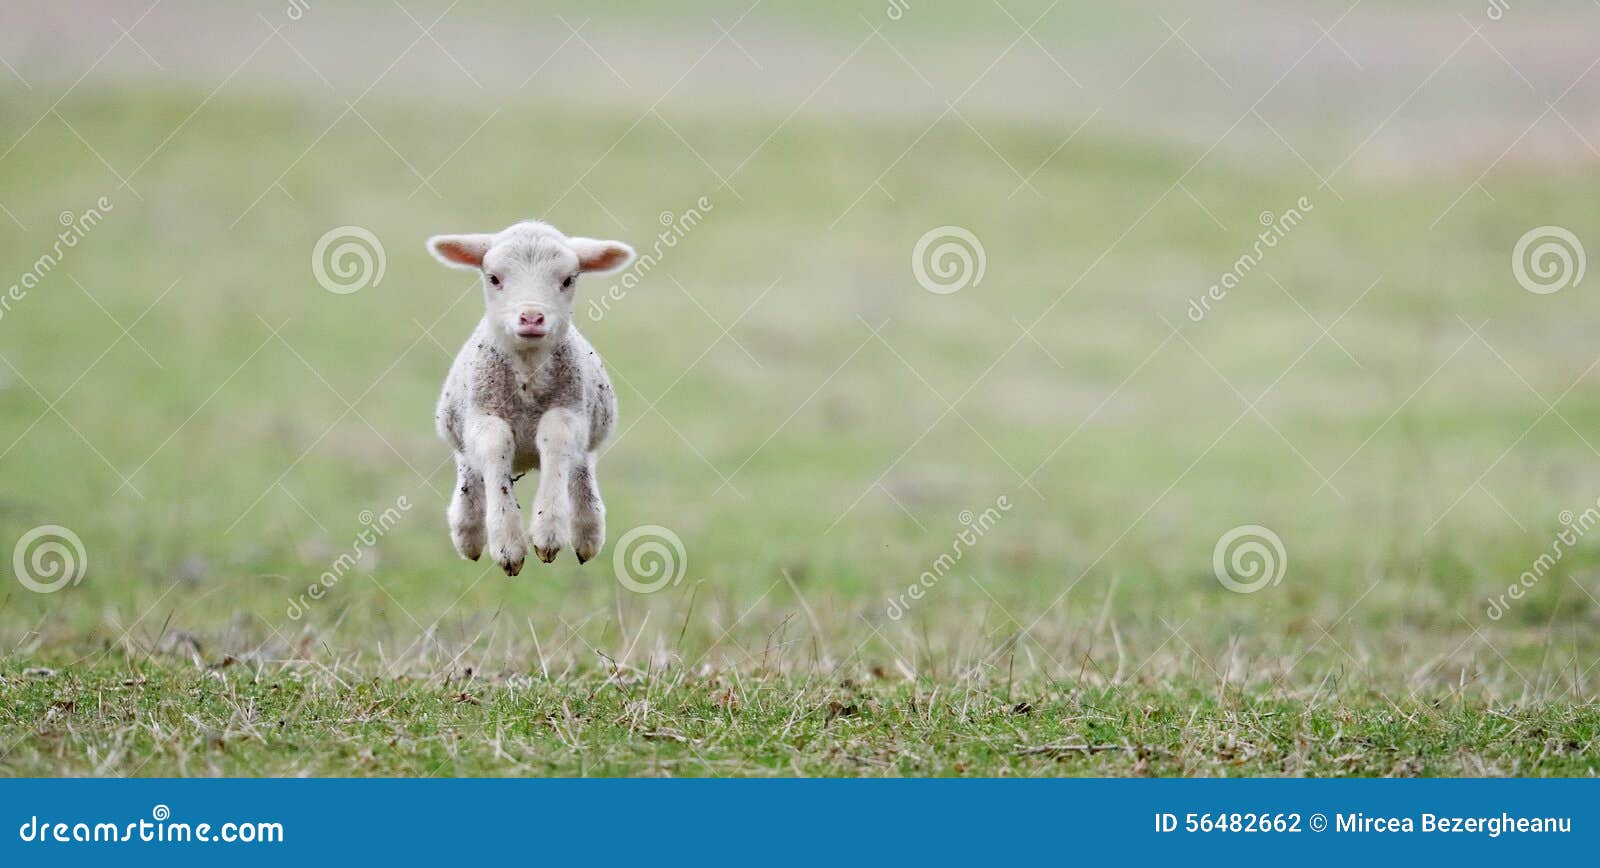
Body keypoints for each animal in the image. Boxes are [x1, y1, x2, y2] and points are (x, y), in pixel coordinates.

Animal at [427, 221, 634, 576]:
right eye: (494, 278)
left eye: (568, 280)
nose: (532, 318)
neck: (527, 373)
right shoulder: (481, 416)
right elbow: (495, 443)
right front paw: (507, 544)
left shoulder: (572, 411)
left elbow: (557, 434)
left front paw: (548, 532)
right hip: (458, 429)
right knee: (470, 475)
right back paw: (468, 532)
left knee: (581, 474)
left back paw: (587, 533)